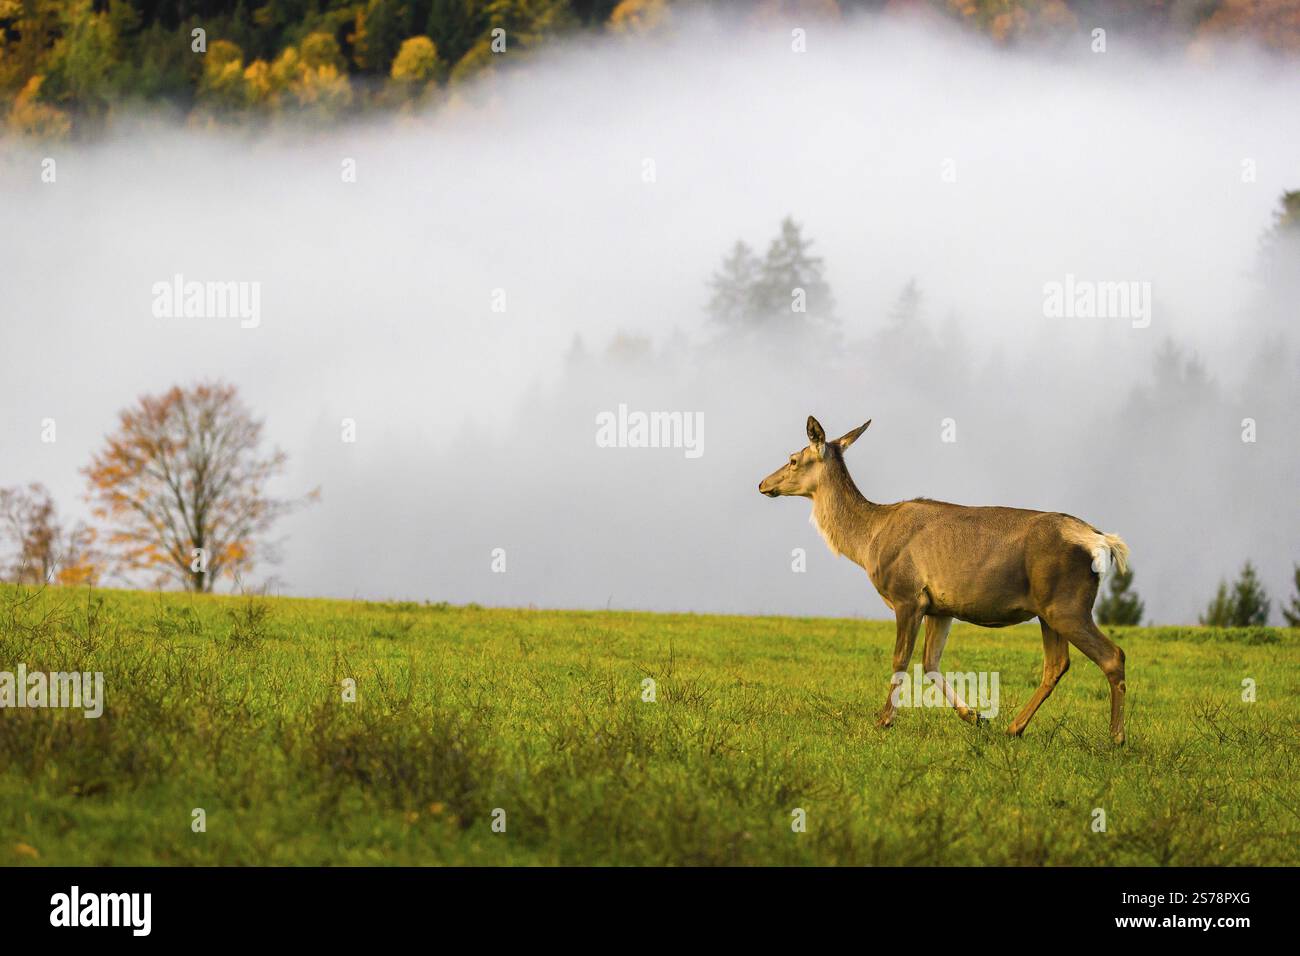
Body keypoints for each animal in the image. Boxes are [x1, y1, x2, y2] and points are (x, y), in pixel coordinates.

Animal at [759, 416, 1129, 744]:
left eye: (793, 459)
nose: (762, 483)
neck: (868, 541)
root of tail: (1102, 541)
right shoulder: (940, 607)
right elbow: (930, 662)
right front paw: (975, 716)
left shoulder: (907, 595)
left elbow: (900, 659)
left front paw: (884, 719)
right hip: (1048, 610)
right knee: (1056, 664)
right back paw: (1014, 728)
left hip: (1067, 603)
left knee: (1112, 656)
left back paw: (1116, 737)